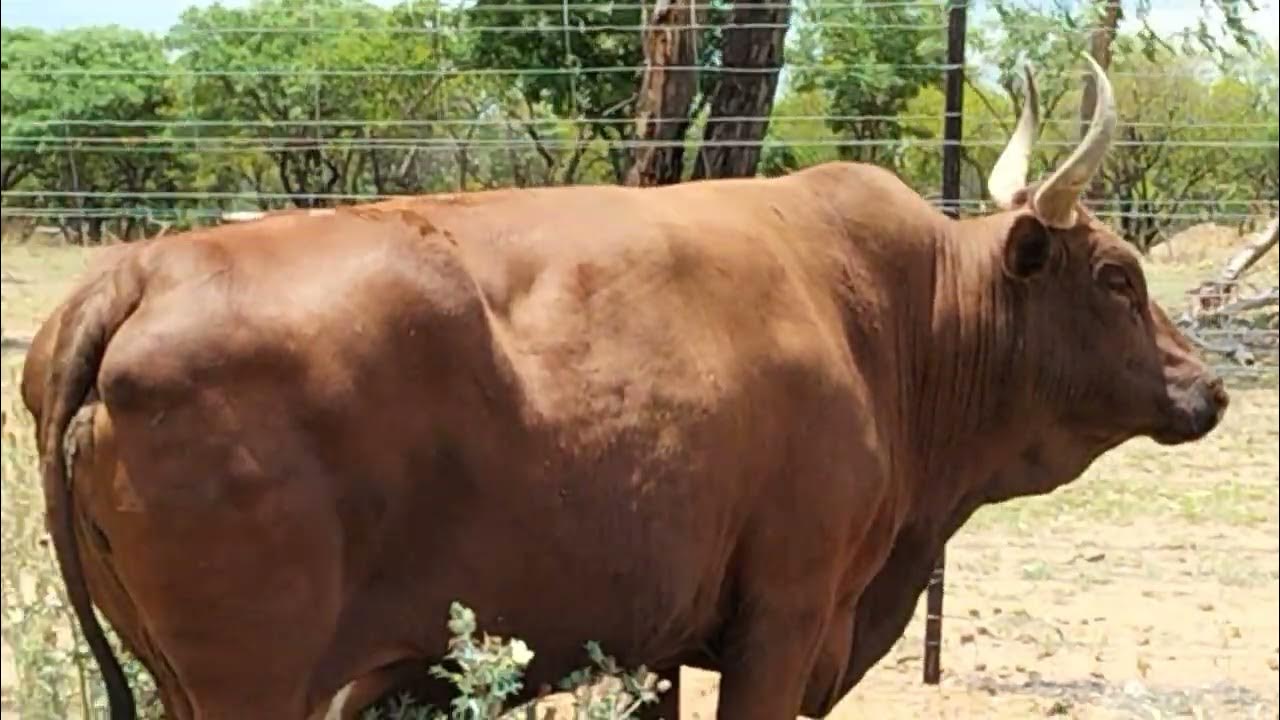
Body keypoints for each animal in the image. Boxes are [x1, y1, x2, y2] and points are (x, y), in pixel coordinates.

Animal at [20, 55, 1228, 720]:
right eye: (1117, 279)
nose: (1207, 387)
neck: (891, 320)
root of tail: (140, 272)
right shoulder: (785, 617)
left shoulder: (660, 639)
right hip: (253, 684)